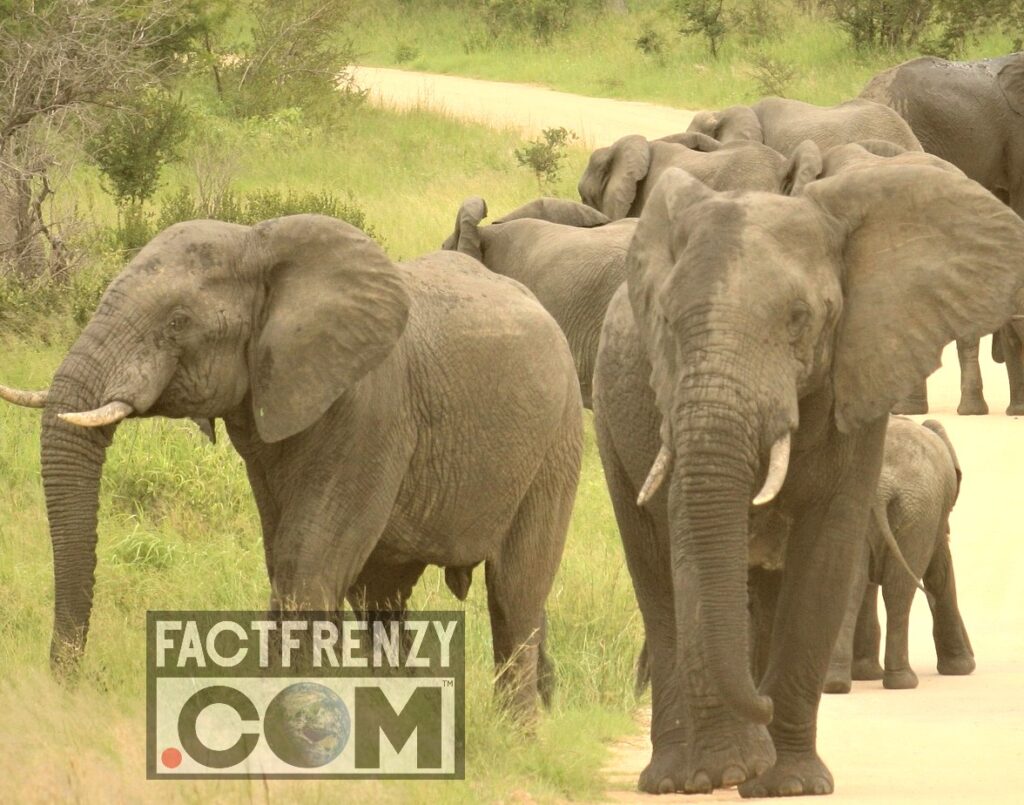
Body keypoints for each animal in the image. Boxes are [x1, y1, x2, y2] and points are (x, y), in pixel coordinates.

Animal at [0, 214, 583, 716]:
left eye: (178, 322)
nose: (76, 681)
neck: (259, 244)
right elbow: (282, 559)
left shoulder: (372, 411)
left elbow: (306, 563)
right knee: (382, 597)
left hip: (558, 439)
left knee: (514, 594)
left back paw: (516, 734)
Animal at [824, 417, 975, 694]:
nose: (973, 654)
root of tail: (881, 487)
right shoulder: (935, 519)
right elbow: (939, 572)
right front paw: (962, 668)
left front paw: (864, 675)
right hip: (918, 513)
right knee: (899, 590)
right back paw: (903, 682)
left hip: (866, 509)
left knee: (853, 586)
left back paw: (837, 684)